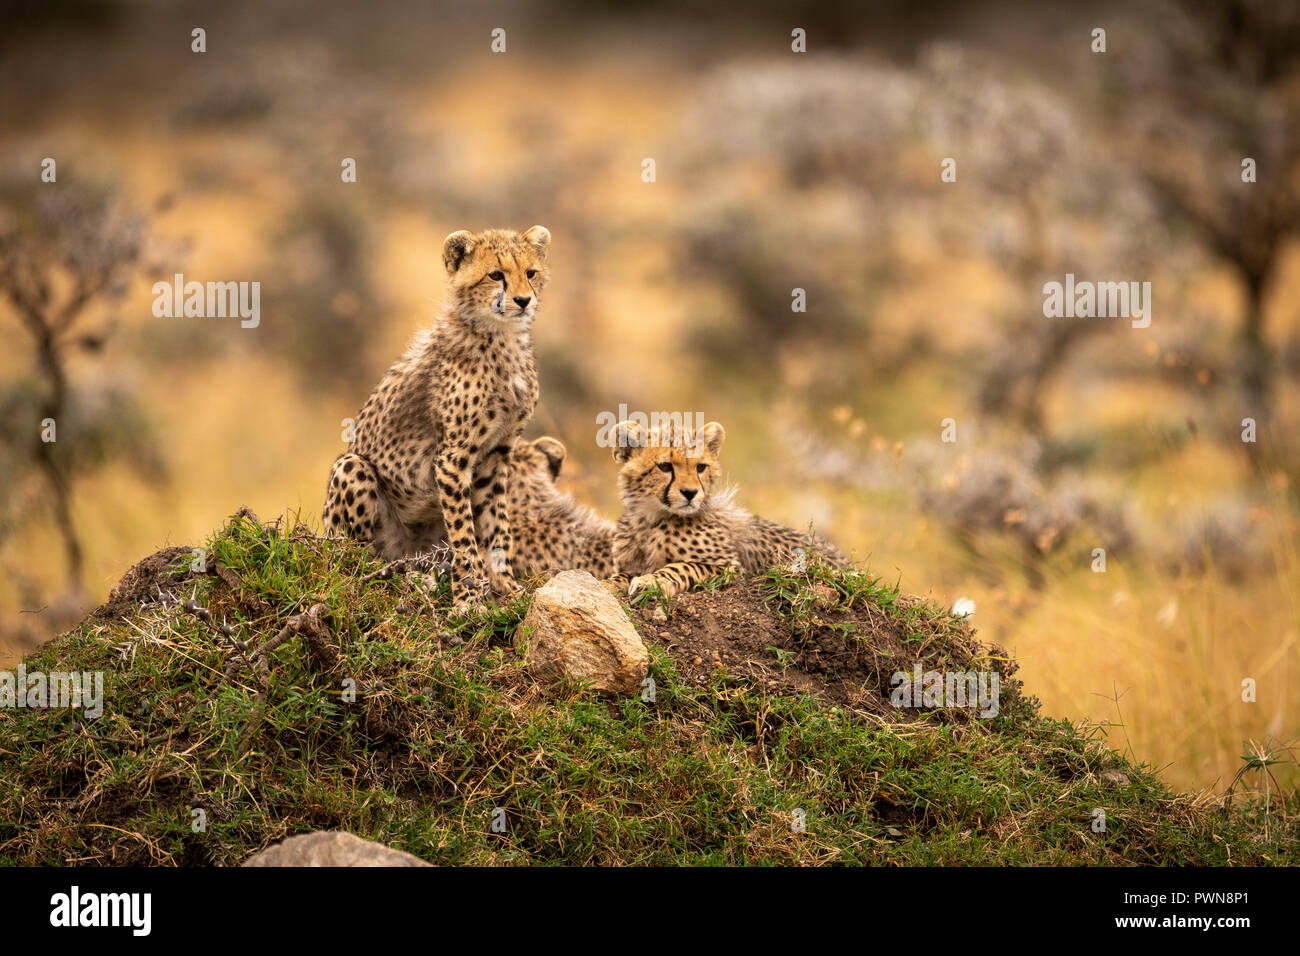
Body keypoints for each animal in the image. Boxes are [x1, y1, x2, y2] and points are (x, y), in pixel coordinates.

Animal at [322, 225, 551, 612]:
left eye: (531, 272)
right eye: (496, 275)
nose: (523, 300)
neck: (501, 339)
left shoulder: (496, 455)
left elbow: (496, 526)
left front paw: (505, 587)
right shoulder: (452, 458)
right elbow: (464, 536)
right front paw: (469, 599)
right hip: (352, 471)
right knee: (349, 556)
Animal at [609, 417, 848, 600]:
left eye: (700, 467)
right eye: (665, 466)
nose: (690, 493)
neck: (650, 519)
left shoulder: (732, 567)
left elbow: (683, 566)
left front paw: (650, 582)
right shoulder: (628, 564)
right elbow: (620, 575)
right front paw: (610, 583)